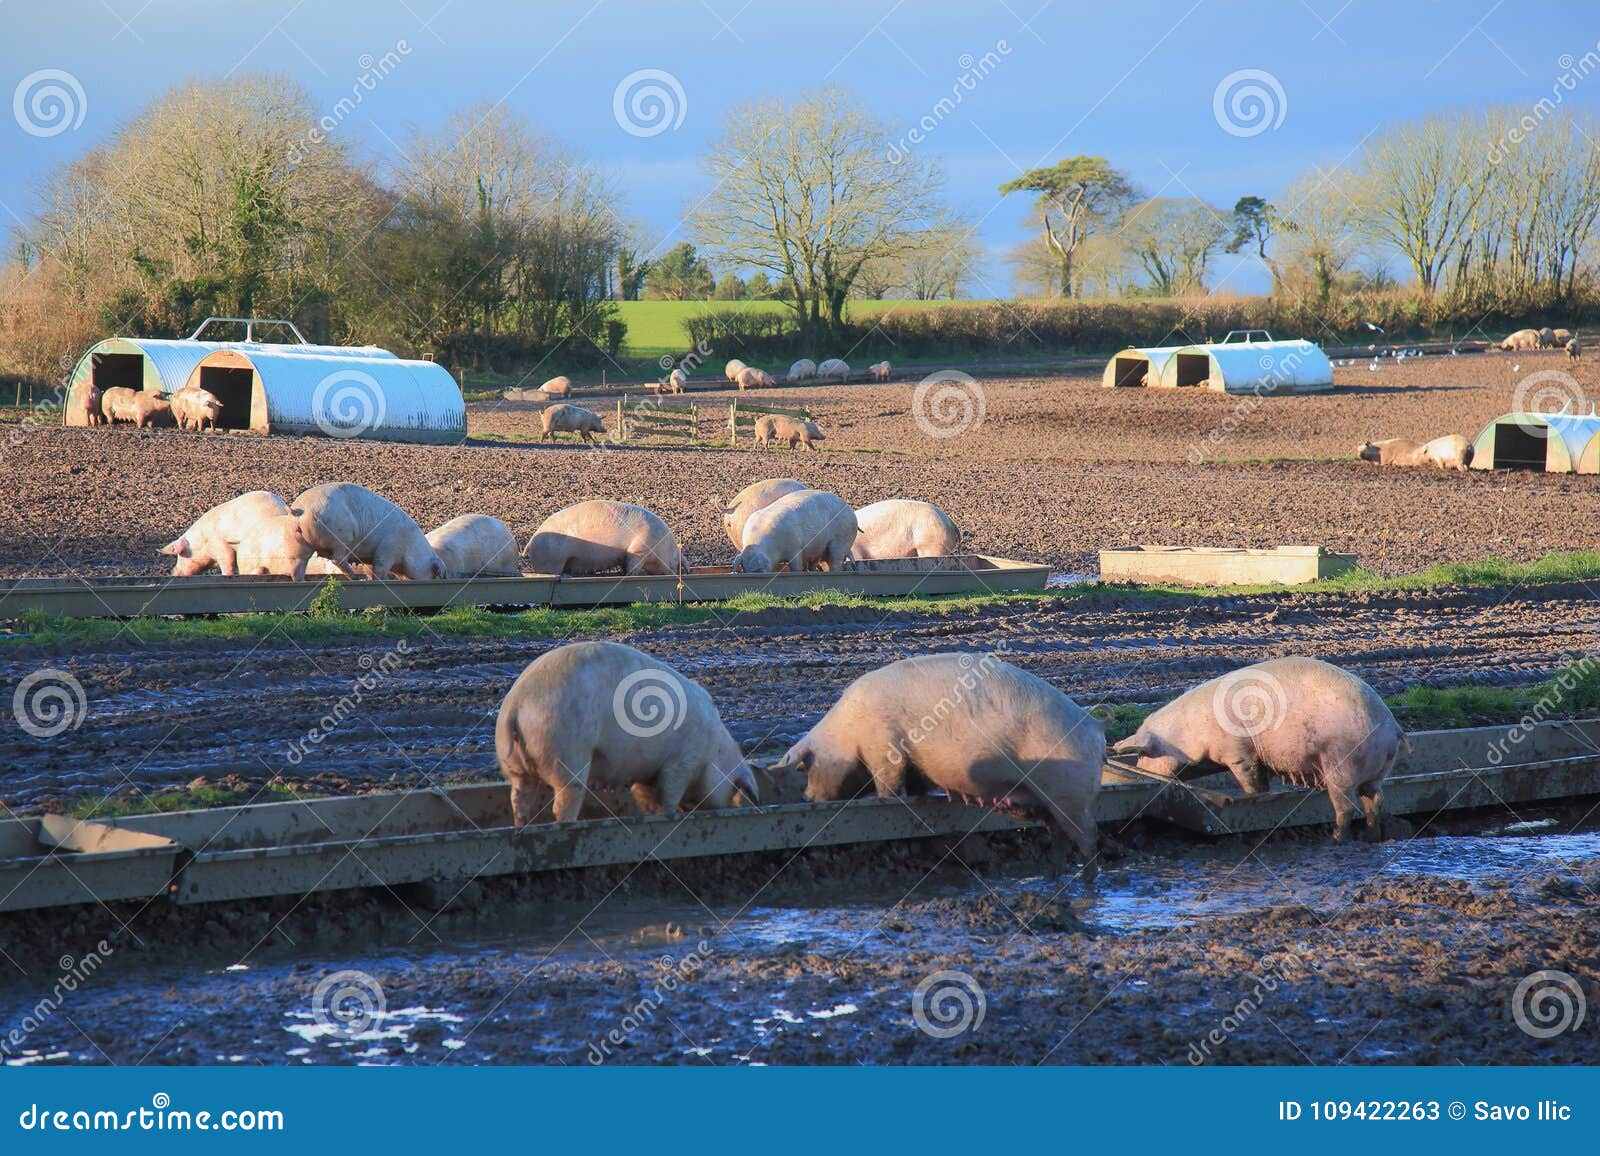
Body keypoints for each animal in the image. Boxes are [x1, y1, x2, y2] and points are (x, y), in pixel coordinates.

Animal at [291, 482, 445, 581]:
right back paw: (355, 578)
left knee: (298, 564)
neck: (410, 546)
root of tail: (301, 510)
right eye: (433, 573)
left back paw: (300, 581)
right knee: (337, 559)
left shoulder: (369, 557)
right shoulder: (388, 548)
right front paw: (381, 580)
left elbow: (370, 570)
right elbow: (380, 567)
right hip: (341, 538)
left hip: (296, 541)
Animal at [496, 640, 760, 824]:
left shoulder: (646, 770)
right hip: (568, 755)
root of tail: (517, 705)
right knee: (563, 803)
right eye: (732, 788)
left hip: (514, 766)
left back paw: (521, 826)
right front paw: (670, 814)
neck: (714, 752)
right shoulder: (681, 762)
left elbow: (645, 796)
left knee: (519, 800)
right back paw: (568, 824)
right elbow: (669, 794)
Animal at [522, 500, 681, 576]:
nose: (673, 573)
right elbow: (632, 566)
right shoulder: (639, 549)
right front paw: (631, 575)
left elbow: (625, 564)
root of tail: (532, 539)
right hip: (549, 562)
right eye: (674, 561)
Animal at [773, 653, 1104, 876]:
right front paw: (920, 797)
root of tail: (1096, 731)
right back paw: (1054, 875)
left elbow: (889, 784)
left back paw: (1085, 878)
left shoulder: (884, 747)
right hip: (1055, 802)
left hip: (1071, 795)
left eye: (806, 766)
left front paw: (885, 800)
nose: (807, 798)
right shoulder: (915, 763)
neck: (847, 733)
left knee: (1088, 840)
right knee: (1059, 838)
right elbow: (916, 782)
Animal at [1110, 656, 1405, 842]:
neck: (1190, 733)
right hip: (1376, 771)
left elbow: (1251, 780)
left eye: (1142, 754)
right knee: (1375, 801)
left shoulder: (1238, 749)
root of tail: (1393, 727)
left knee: (1345, 806)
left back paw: (1336, 841)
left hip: (1341, 763)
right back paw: (1371, 837)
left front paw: (1252, 798)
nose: (1140, 770)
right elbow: (1262, 782)